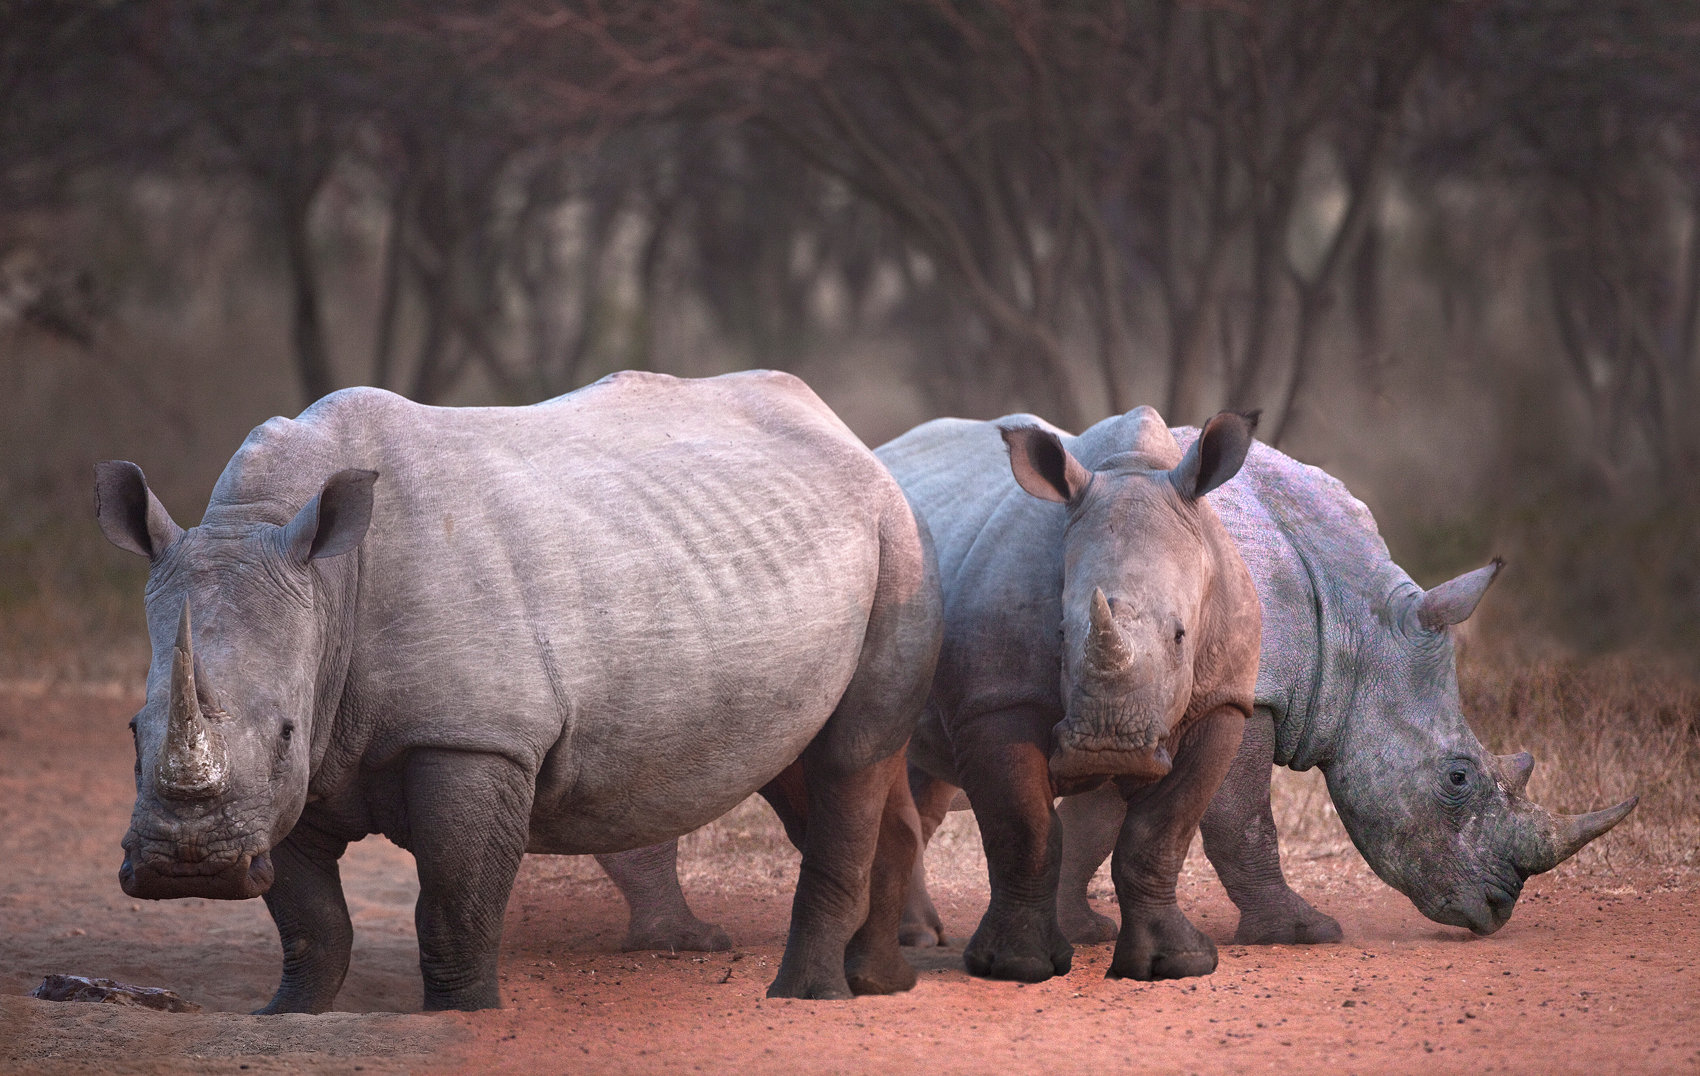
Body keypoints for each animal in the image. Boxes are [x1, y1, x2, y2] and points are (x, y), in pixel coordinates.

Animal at [94, 369, 940, 1011]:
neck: (316, 575)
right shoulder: (299, 773)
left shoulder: (474, 737)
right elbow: (310, 921)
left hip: (899, 536)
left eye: (283, 733)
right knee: (802, 769)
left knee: (850, 759)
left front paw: (463, 1014)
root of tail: (847, 432)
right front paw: (288, 1015)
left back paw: (808, 996)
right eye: (134, 733)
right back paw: (885, 977)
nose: (187, 868)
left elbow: (455, 906)